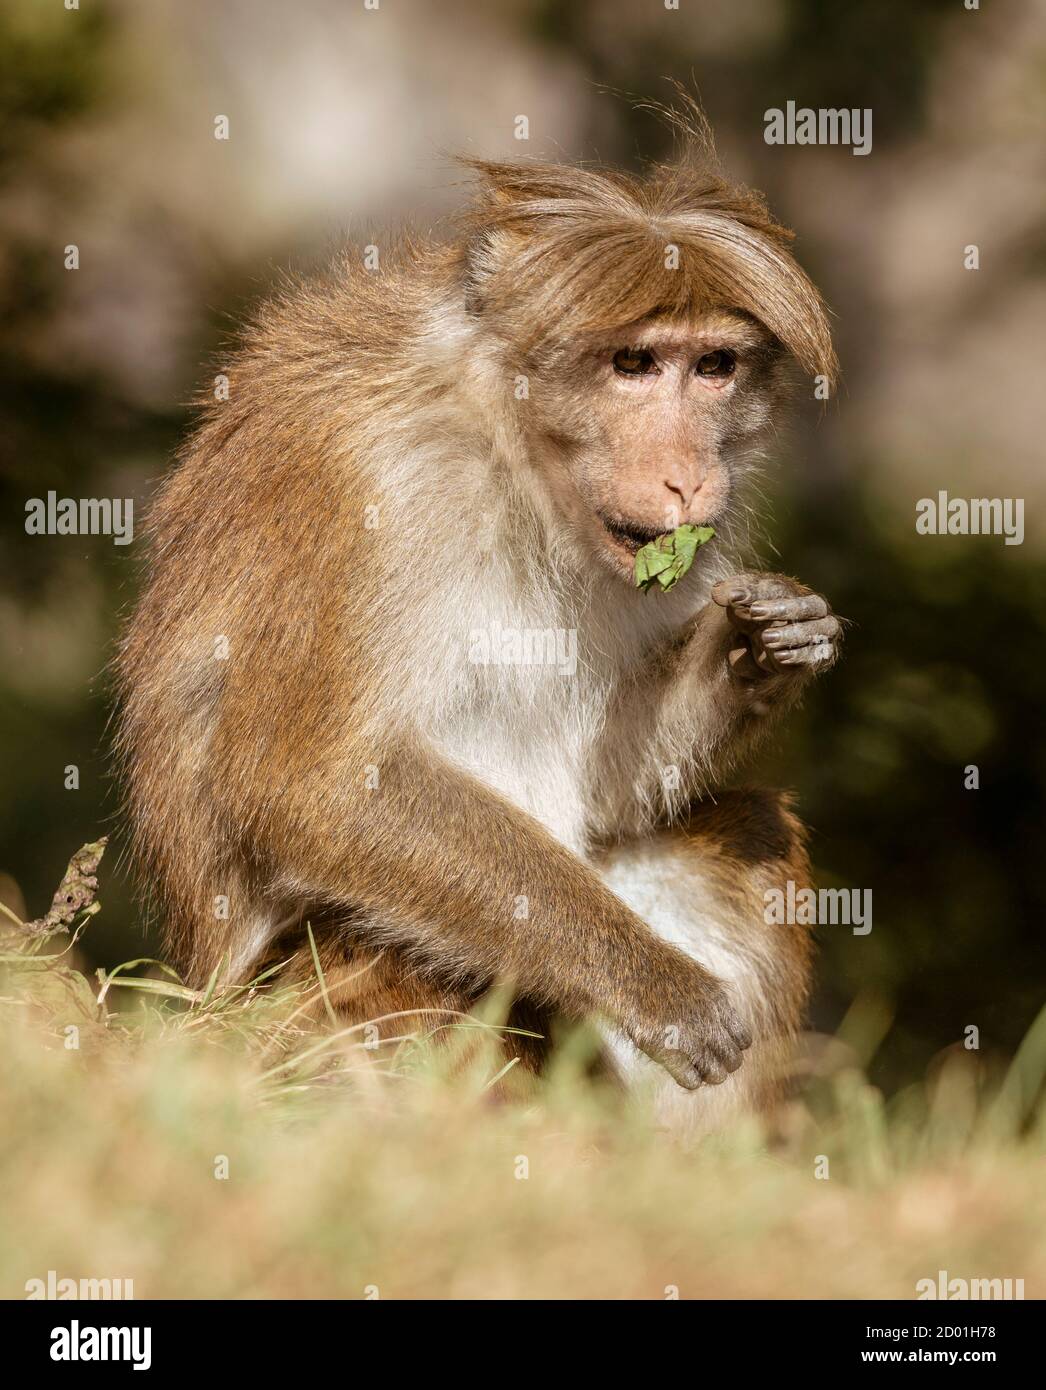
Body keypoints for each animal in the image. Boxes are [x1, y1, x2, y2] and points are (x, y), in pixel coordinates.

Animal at [117, 118, 841, 1136]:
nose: (690, 478)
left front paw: (757, 651)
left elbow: (608, 784)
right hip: (280, 1022)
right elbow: (312, 786)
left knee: (744, 836)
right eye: (634, 364)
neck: (504, 449)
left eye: (712, 367)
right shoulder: (365, 487)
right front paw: (656, 985)